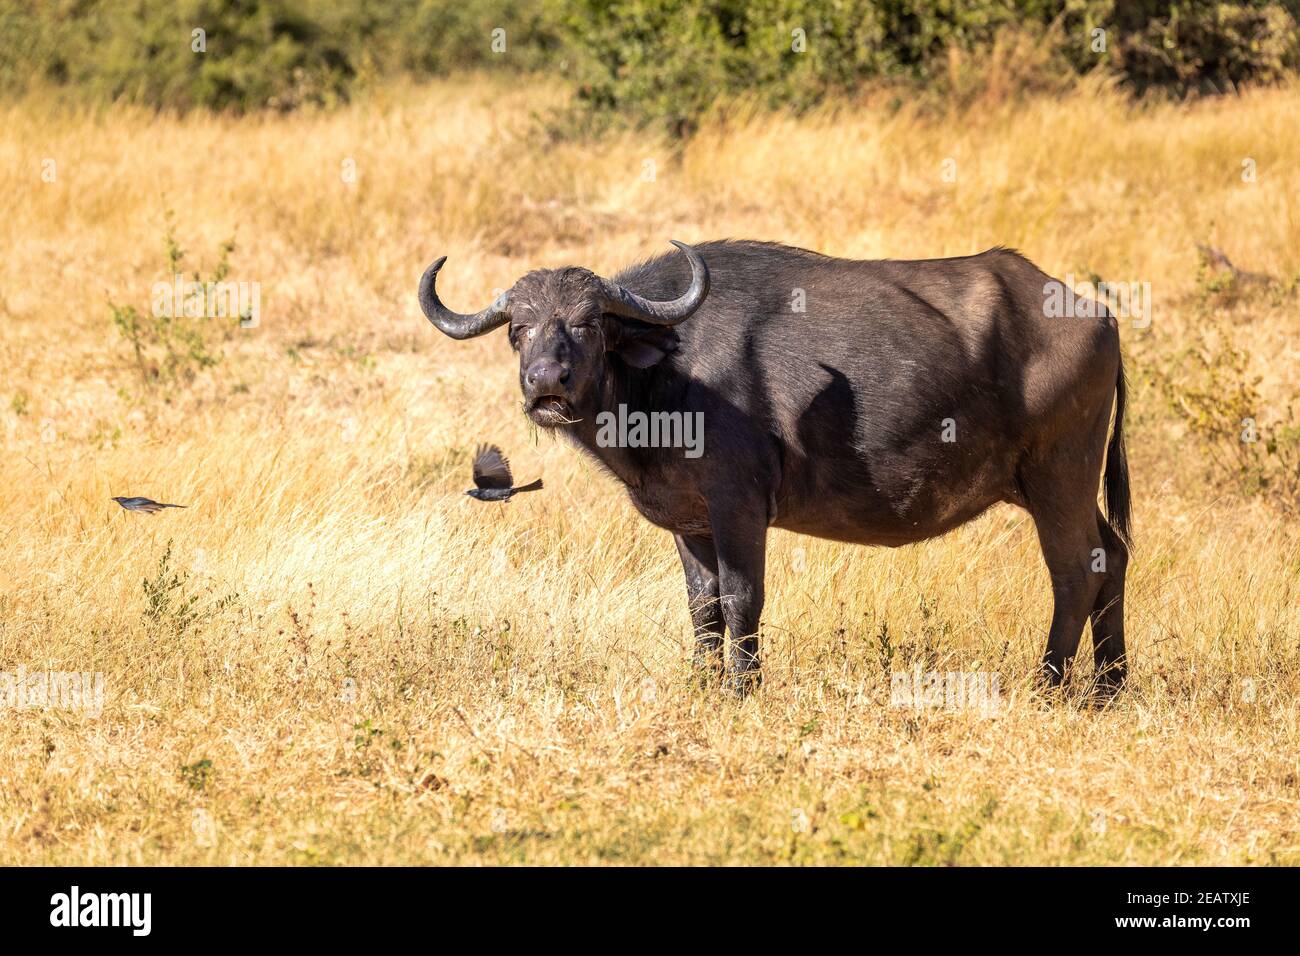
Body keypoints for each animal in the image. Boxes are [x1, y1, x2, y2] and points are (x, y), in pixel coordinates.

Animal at [419, 240, 1131, 696]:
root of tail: (1095, 316)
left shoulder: (738, 506)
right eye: (518, 329)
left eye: (591, 324)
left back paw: (1048, 686)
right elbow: (702, 604)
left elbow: (742, 596)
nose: (546, 383)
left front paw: (743, 688)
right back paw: (1110, 685)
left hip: (1058, 477)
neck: (669, 379)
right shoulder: (690, 520)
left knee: (1076, 570)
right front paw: (703, 685)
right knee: (1114, 555)